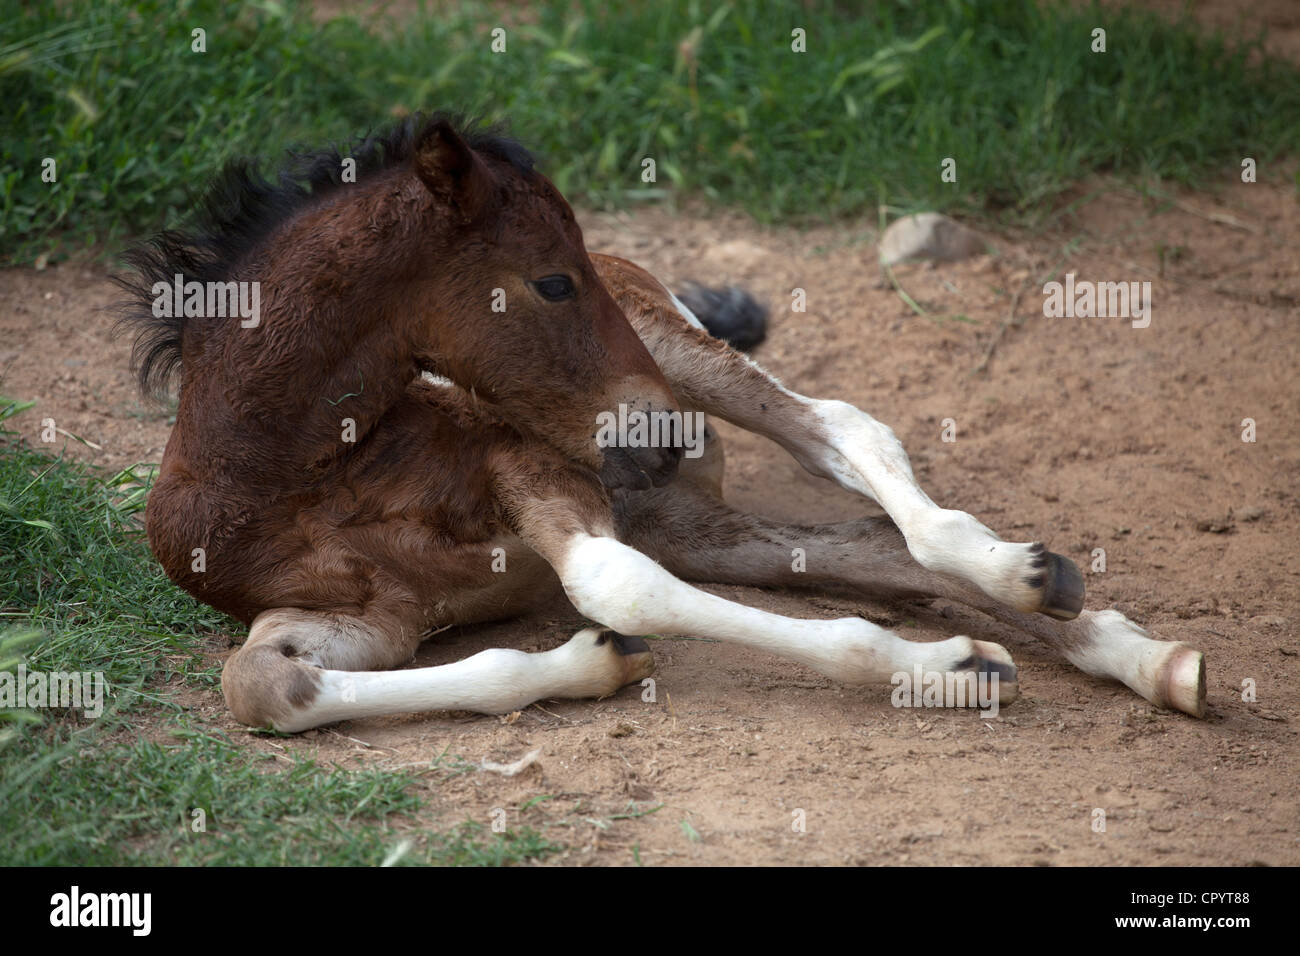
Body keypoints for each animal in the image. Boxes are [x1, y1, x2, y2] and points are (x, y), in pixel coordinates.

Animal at [116, 113, 1206, 733]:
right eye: (551, 280)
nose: (655, 441)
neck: (289, 472)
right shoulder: (362, 618)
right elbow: (258, 689)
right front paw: (592, 662)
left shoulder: (531, 467)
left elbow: (617, 585)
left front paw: (949, 669)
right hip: (692, 515)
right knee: (866, 548)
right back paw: (1137, 652)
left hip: (678, 367)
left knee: (843, 431)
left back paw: (1021, 573)